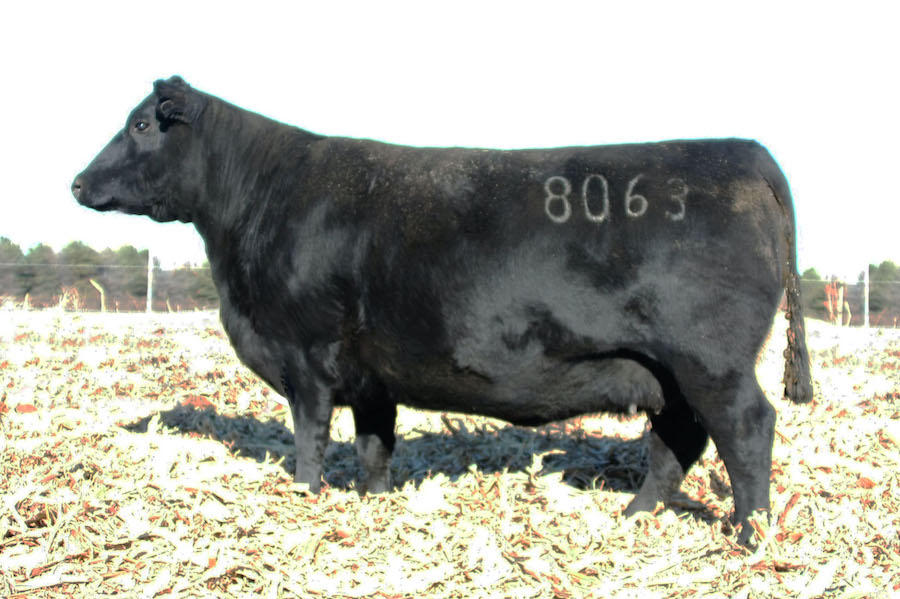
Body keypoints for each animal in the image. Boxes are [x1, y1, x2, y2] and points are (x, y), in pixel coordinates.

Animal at [73, 76, 812, 543]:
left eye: (141, 123)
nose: (77, 182)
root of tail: (743, 151)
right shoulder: (370, 376)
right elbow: (374, 448)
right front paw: (373, 503)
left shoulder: (307, 357)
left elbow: (310, 441)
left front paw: (306, 496)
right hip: (667, 373)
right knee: (677, 439)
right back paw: (633, 516)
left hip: (711, 363)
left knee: (747, 428)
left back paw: (750, 535)